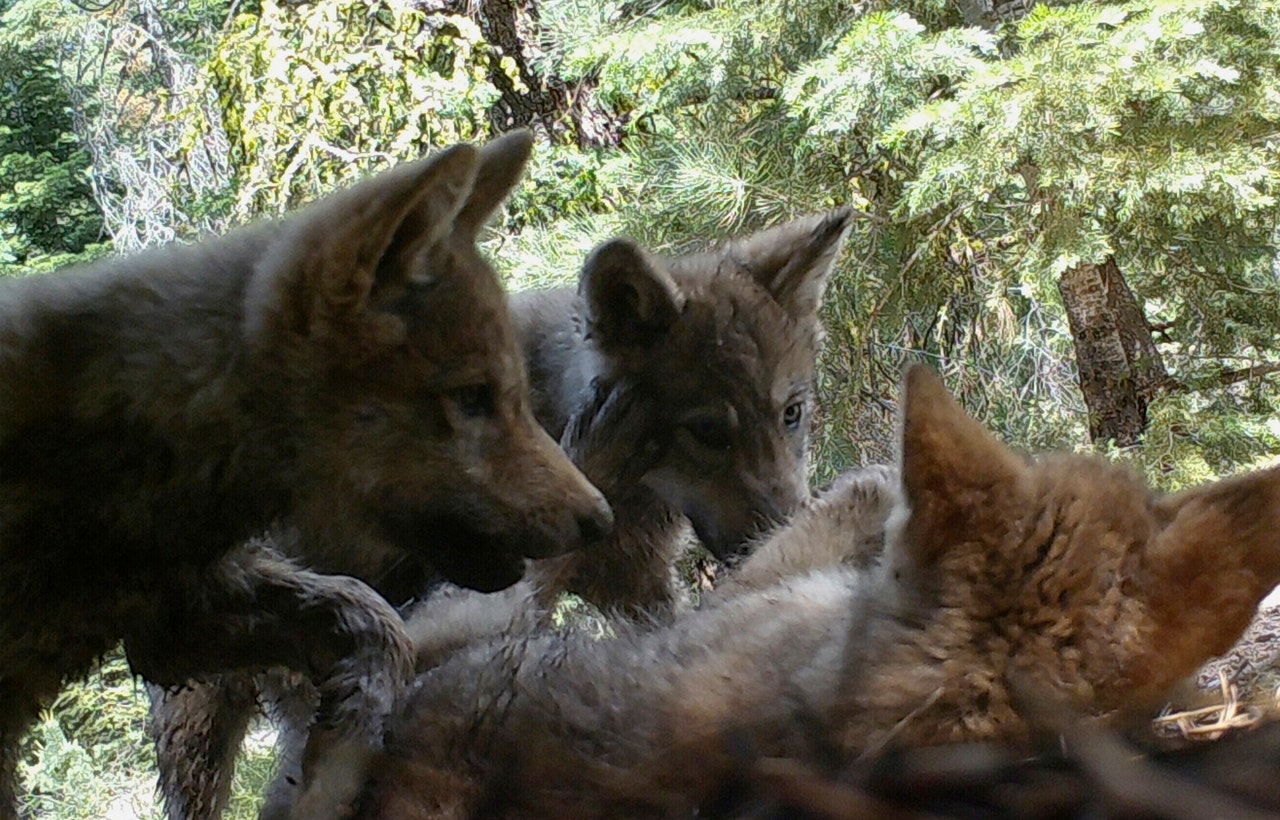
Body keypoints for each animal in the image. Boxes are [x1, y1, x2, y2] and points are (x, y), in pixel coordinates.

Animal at [0, 130, 611, 820]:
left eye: (516, 395)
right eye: (472, 397)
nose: (601, 519)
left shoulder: (183, 617)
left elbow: (378, 630)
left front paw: (330, 761)